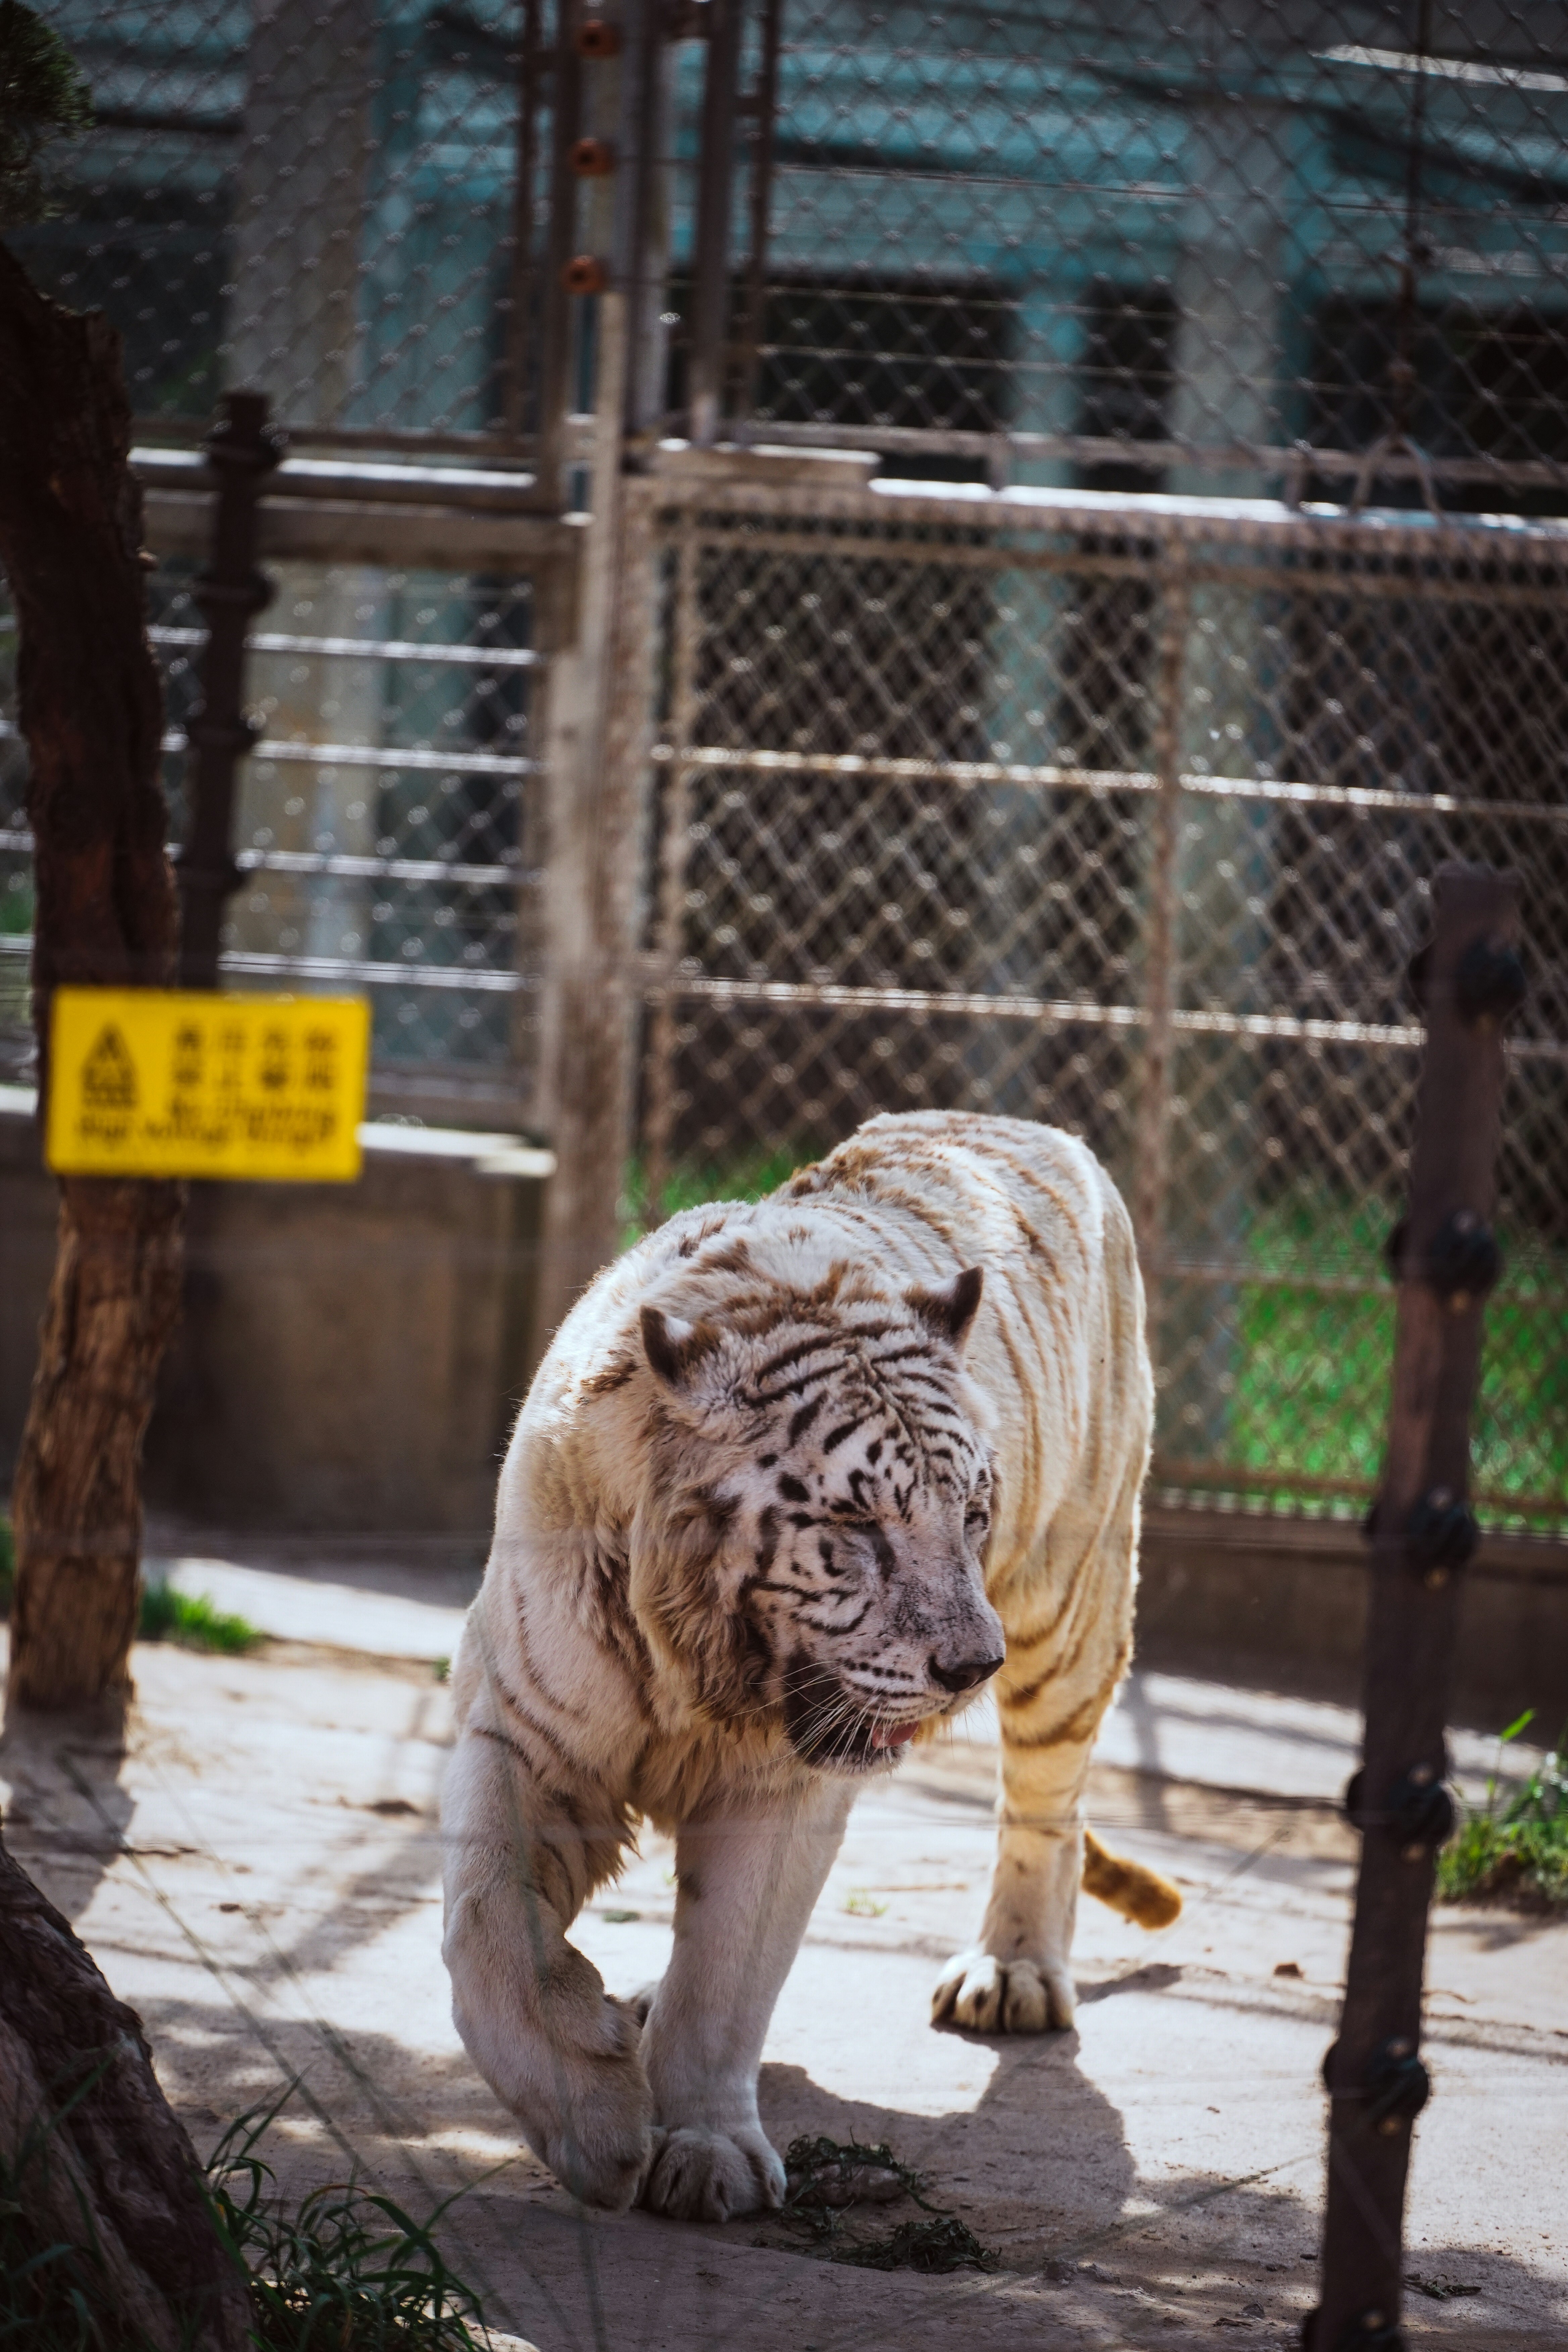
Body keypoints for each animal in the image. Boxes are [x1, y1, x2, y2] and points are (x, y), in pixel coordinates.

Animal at [441, 1109, 1180, 2225]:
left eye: (974, 1512)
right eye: (859, 1528)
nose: (974, 1663)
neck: (694, 1660)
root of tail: (1039, 1127)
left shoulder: (781, 1787)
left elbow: (728, 1971)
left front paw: (702, 2151)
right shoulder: (524, 1726)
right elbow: (488, 1923)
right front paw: (595, 2121)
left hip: (1073, 1613)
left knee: (1048, 1801)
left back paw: (1012, 1975)